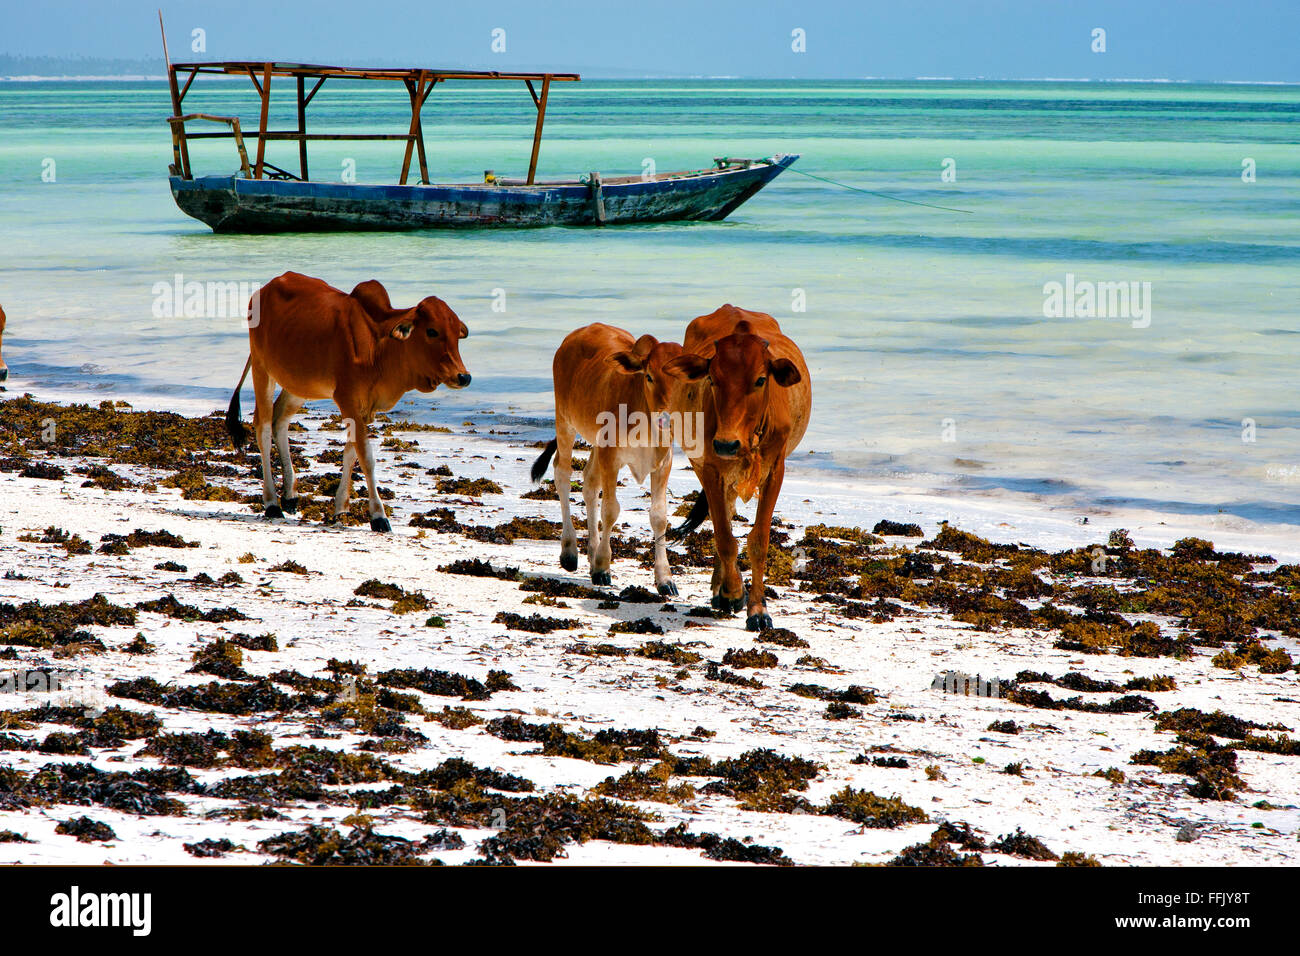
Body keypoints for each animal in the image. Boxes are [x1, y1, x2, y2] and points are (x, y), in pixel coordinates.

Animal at [224, 272, 470, 531]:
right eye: (432, 331)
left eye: (457, 334)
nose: (463, 376)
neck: (378, 346)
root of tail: (266, 288)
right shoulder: (347, 400)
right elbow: (366, 457)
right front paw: (378, 516)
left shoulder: (364, 409)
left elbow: (351, 454)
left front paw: (341, 509)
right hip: (262, 369)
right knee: (263, 427)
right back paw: (272, 503)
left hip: (299, 383)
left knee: (279, 420)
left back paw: (290, 496)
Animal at [530, 323, 687, 593]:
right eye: (649, 376)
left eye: (683, 382)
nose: (666, 417)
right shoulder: (610, 456)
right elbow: (611, 510)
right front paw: (603, 568)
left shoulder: (662, 463)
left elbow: (659, 517)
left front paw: (665, 579)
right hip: (565, 421)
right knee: (562, 474)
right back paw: (570, 552)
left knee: (589, 483)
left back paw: (591, 553)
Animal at [663, 304, 811, 630]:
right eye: (712, 379)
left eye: (760, 379)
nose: (726, 444)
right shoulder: (709, 467)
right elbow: (724, 537)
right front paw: (732, 592)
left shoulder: (775, 470)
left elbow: (758, 540)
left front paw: (758, 609)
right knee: (725, 520)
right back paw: (722, 589)